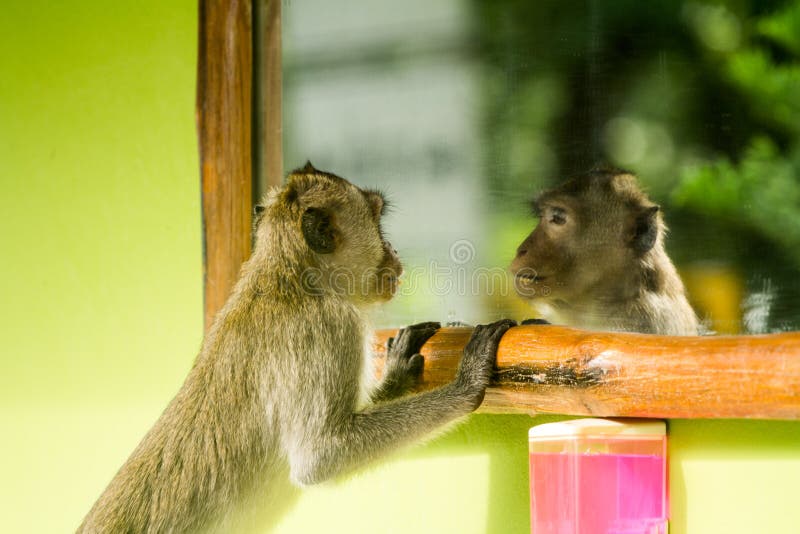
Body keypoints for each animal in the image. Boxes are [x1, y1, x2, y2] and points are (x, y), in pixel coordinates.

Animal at [77, 162, 516, 534]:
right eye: (377, 220)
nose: (392, 249)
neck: (287, 275)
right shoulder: (328, 328)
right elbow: (321, 456)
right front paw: (466, 384)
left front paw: (398, 373)